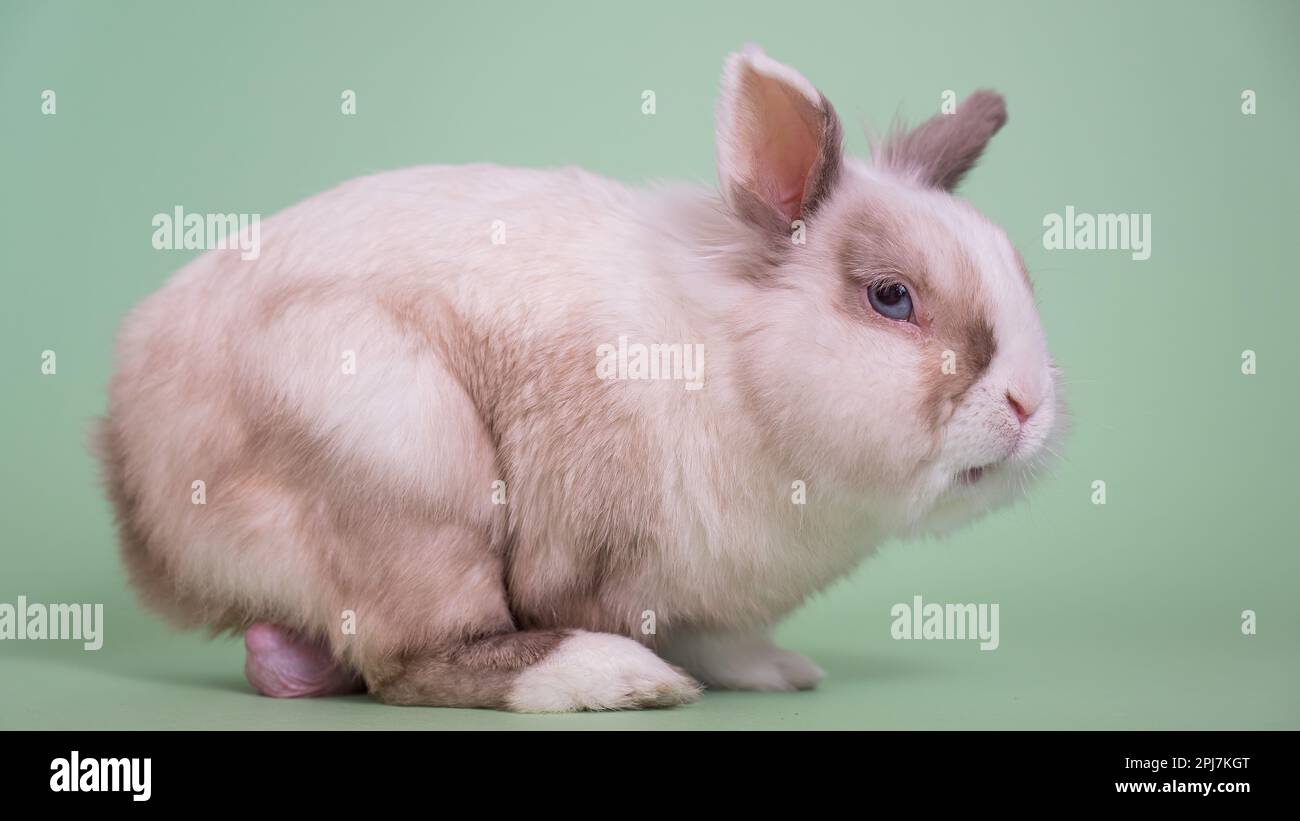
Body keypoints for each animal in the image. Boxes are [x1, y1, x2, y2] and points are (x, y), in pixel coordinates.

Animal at [97, 45, 1063, 711]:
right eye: (892, 297)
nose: (1029, 405)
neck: (732, 372)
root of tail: (132, 468)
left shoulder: (706, 599)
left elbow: (724, 639)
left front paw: (776, 670)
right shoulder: (592, 545)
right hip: (403, 462)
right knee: (416, 660)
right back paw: (618, 678)